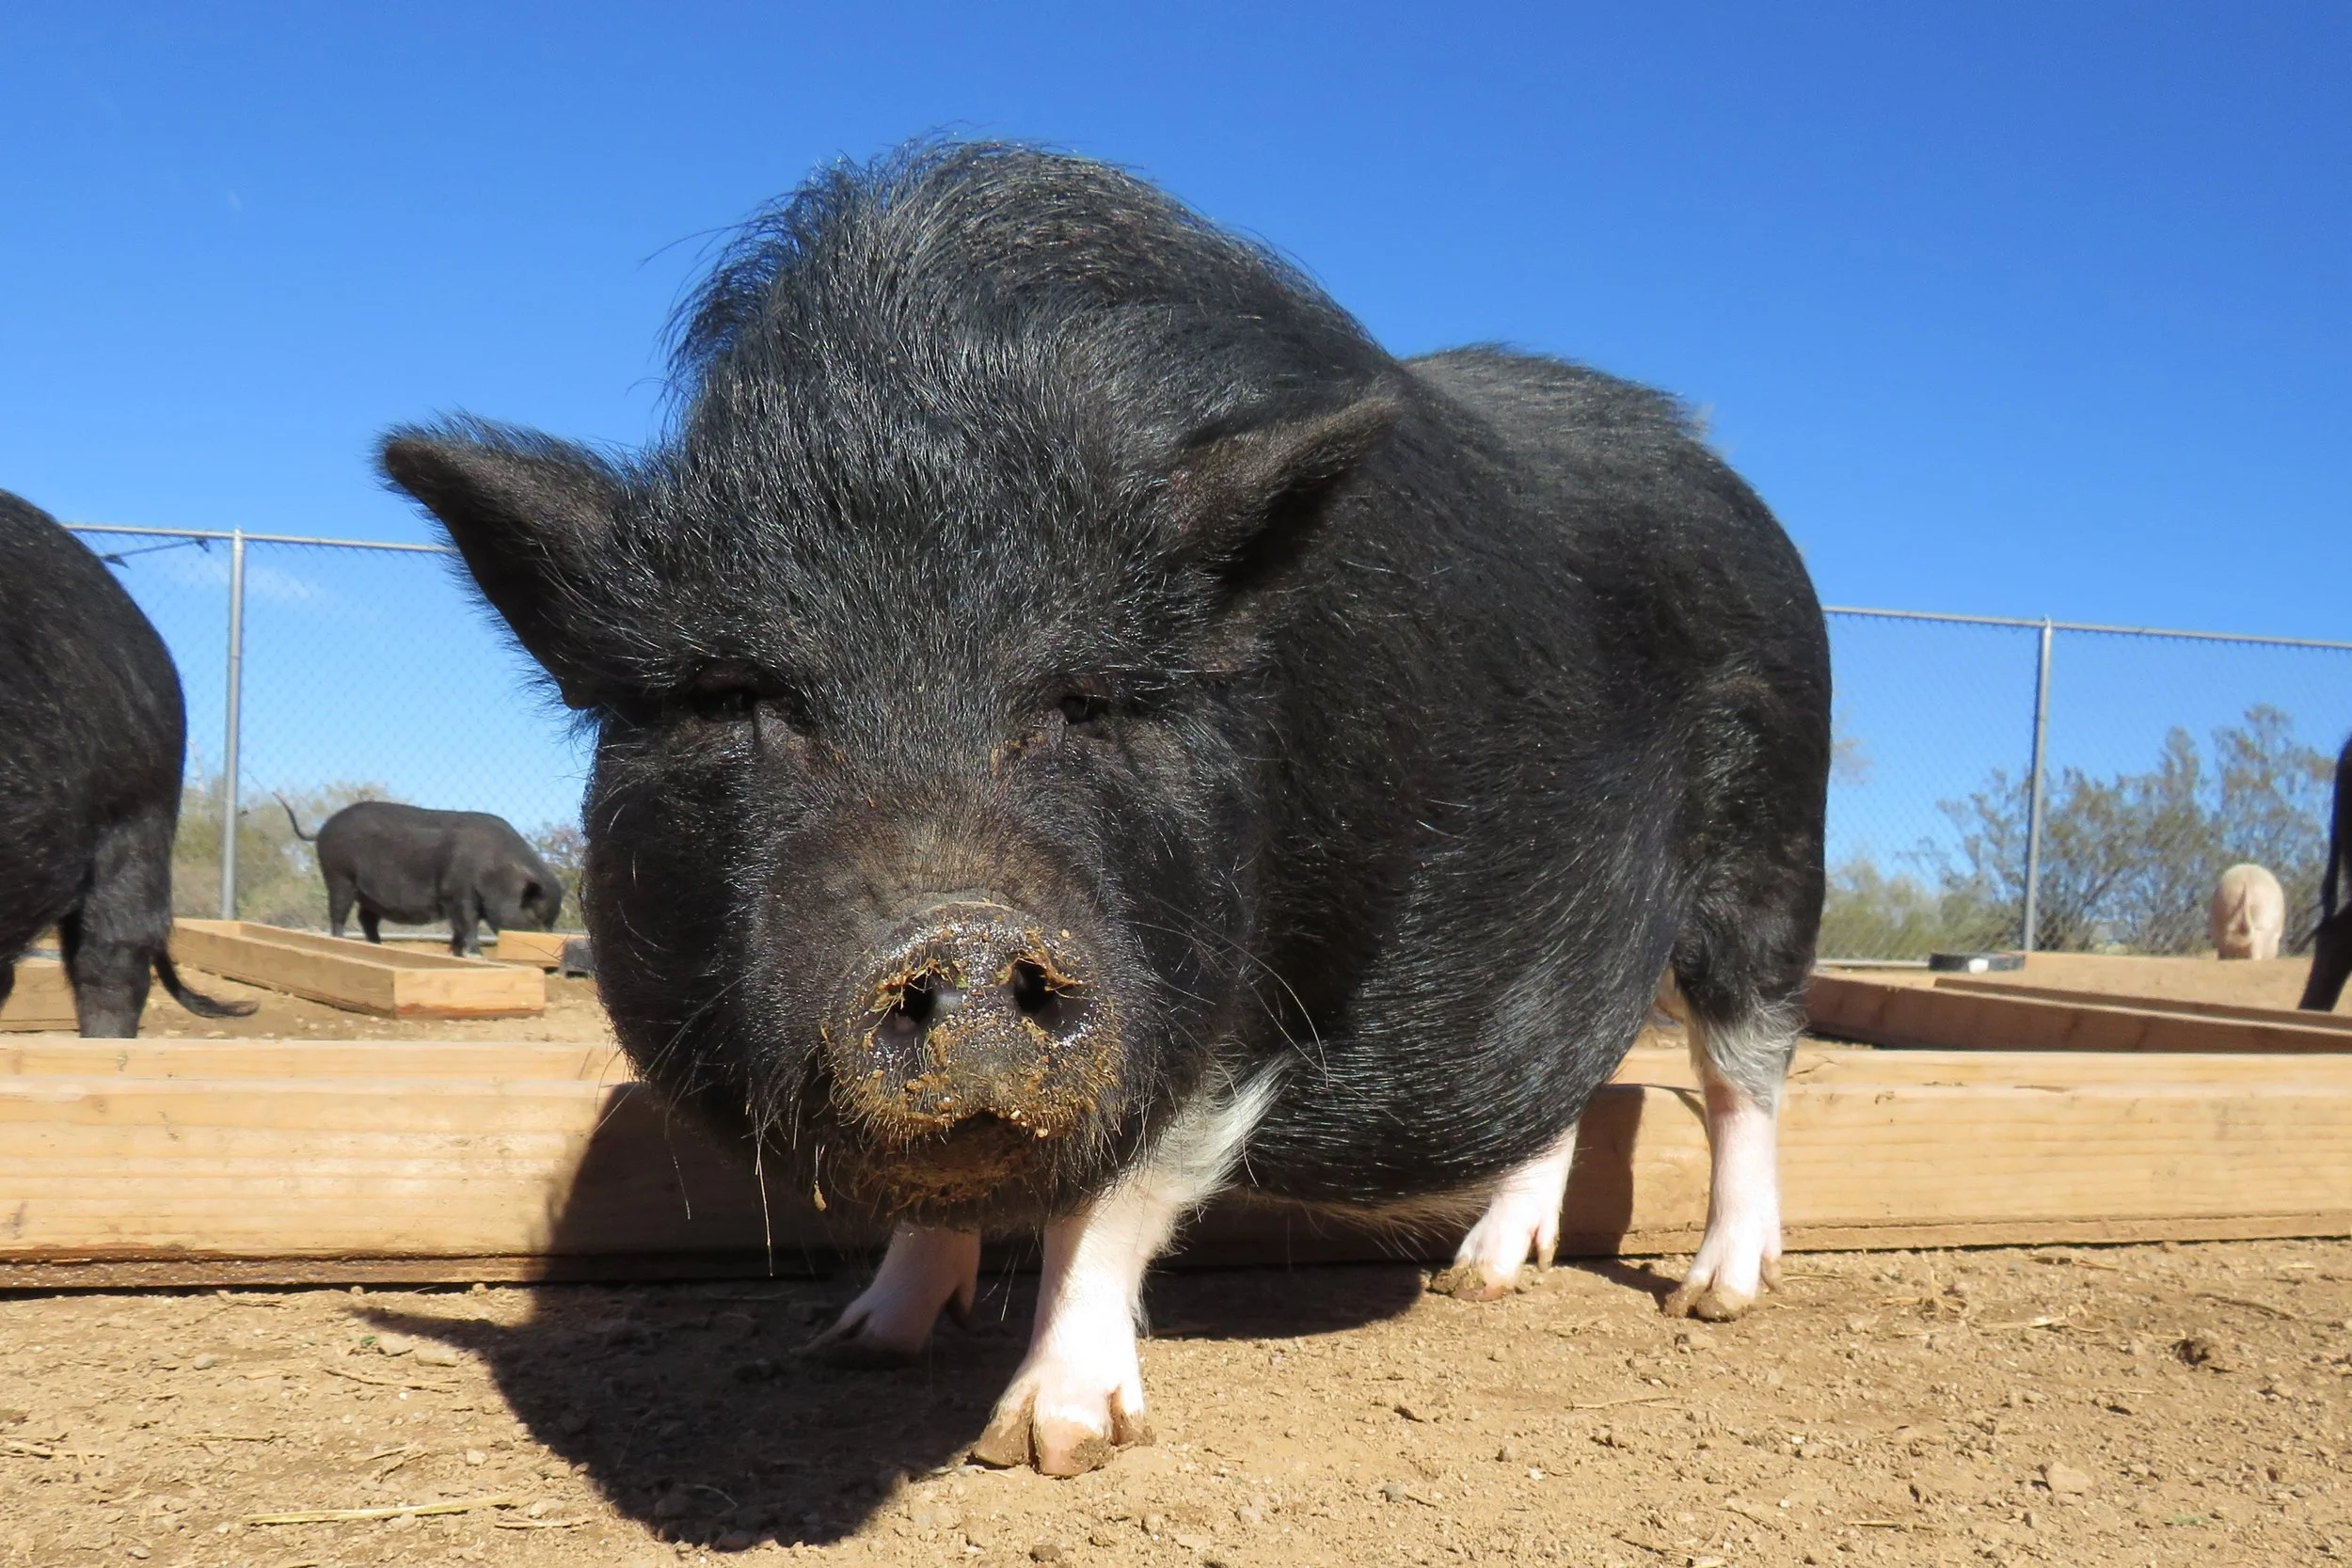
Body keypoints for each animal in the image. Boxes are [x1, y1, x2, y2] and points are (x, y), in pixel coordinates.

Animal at [279, 798, 564, 956]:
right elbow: (468, 924)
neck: (498, 874)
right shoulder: (456, 892)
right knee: (339, 912)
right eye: (536, 916)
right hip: (338, 875)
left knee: (365, 918)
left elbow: (459, 928)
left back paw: (379, 946)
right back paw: (342, 940)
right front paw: (476, 954)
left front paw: (456, 953)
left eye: (551, 920)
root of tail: (322, 829)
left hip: (368, 894)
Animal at [381, 142, 1830, 1474]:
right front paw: (863, 1339)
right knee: (1579, 1070)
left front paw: (1049, 1440)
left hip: (1774, 844)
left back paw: (1717, 1296)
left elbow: (1119, 1189)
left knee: (1743, 1064)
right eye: (737, 694)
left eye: (1088, 698)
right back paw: (1485, 1273)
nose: (960, 934)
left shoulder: (1247, 973)